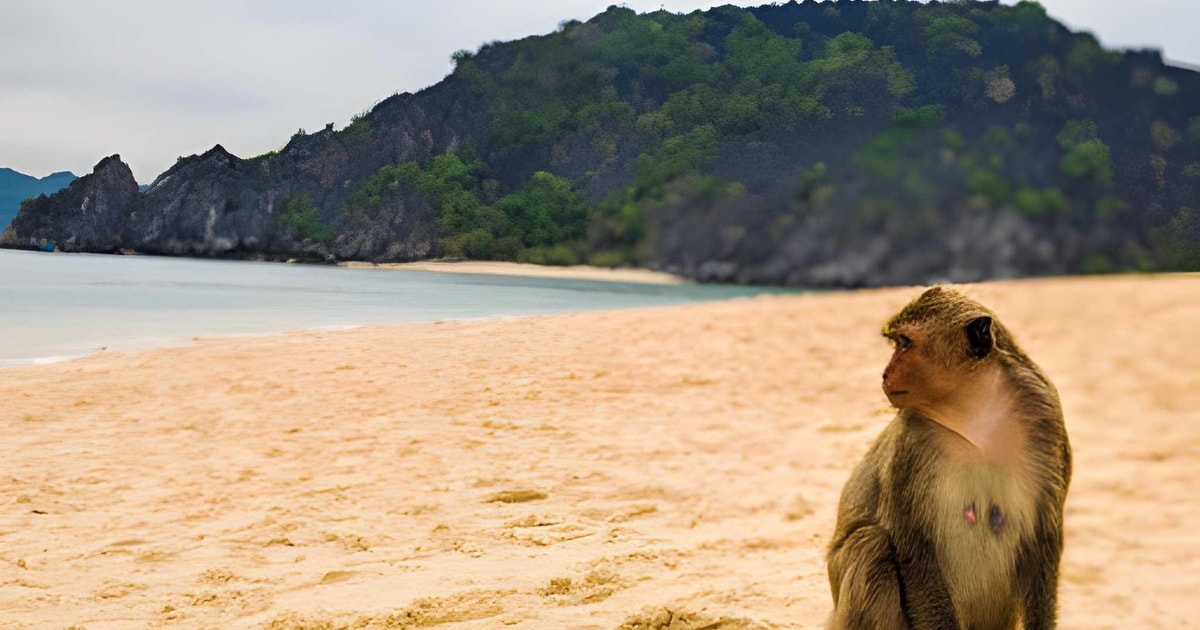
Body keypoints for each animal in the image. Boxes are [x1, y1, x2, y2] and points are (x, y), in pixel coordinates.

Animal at [826, 286, 1071, 629]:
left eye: (905, 342)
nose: (884, 374)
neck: (977, 413)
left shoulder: (1046, 418)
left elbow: (1042, 541)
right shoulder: (911, 443)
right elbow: (915, 550)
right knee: (870, 545)